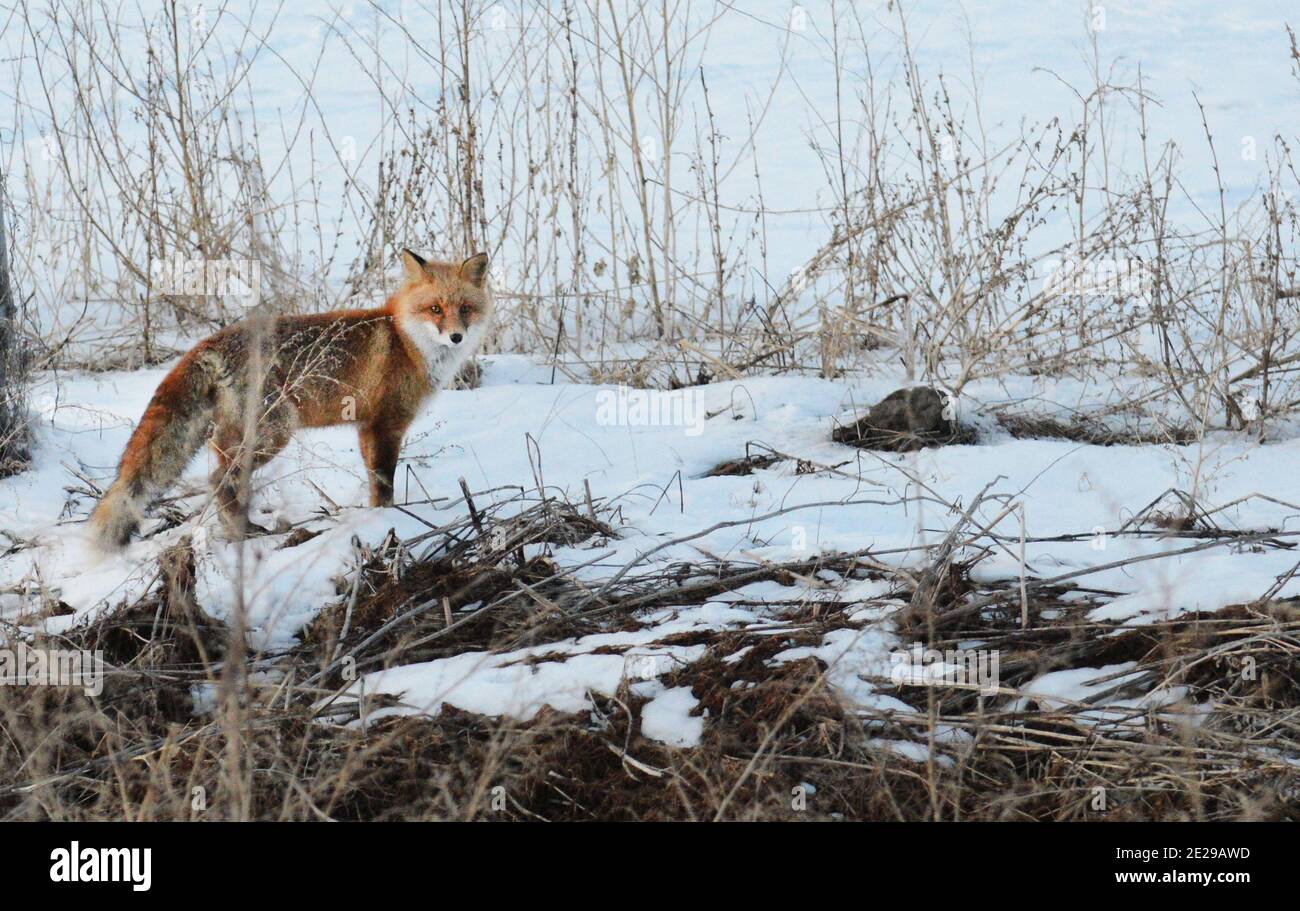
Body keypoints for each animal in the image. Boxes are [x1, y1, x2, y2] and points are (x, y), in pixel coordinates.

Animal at [87, 248, 492, 551]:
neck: (406, 341)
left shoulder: (365, 427)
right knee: (220, 478)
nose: (456, 337)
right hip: (273, 433)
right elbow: (384, 486)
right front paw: (388, 523)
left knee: (220, 479)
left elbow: (374, 483)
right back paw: (244, 533)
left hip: (233, 435)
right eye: (435, 309)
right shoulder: (385, 425)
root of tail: (206, 343)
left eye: (465, 309)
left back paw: (239, 529)